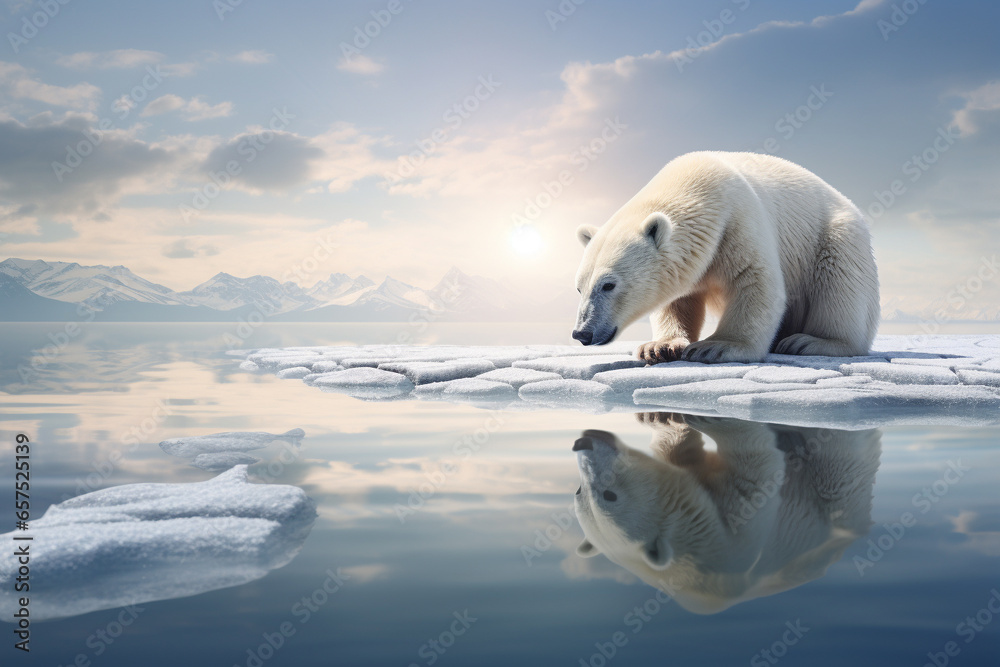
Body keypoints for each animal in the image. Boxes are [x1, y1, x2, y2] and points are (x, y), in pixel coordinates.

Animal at [572, 151, 880, 364]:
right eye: (579, 288)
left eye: (608, 284)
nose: (582, 333)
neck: (696, 184)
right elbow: (677, 300)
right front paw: (658, 347)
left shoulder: (737, 222)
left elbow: (755, 281)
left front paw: (715, 347)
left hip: (835, 237)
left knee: (839, 281)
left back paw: (808, 342)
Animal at [572, 413, 881, 613]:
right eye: (608, 495)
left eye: (577, 490)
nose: (581, 443)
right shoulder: (737, 536)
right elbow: (757, 475)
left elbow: (683, 453)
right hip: (837, 502)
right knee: (837, 472)